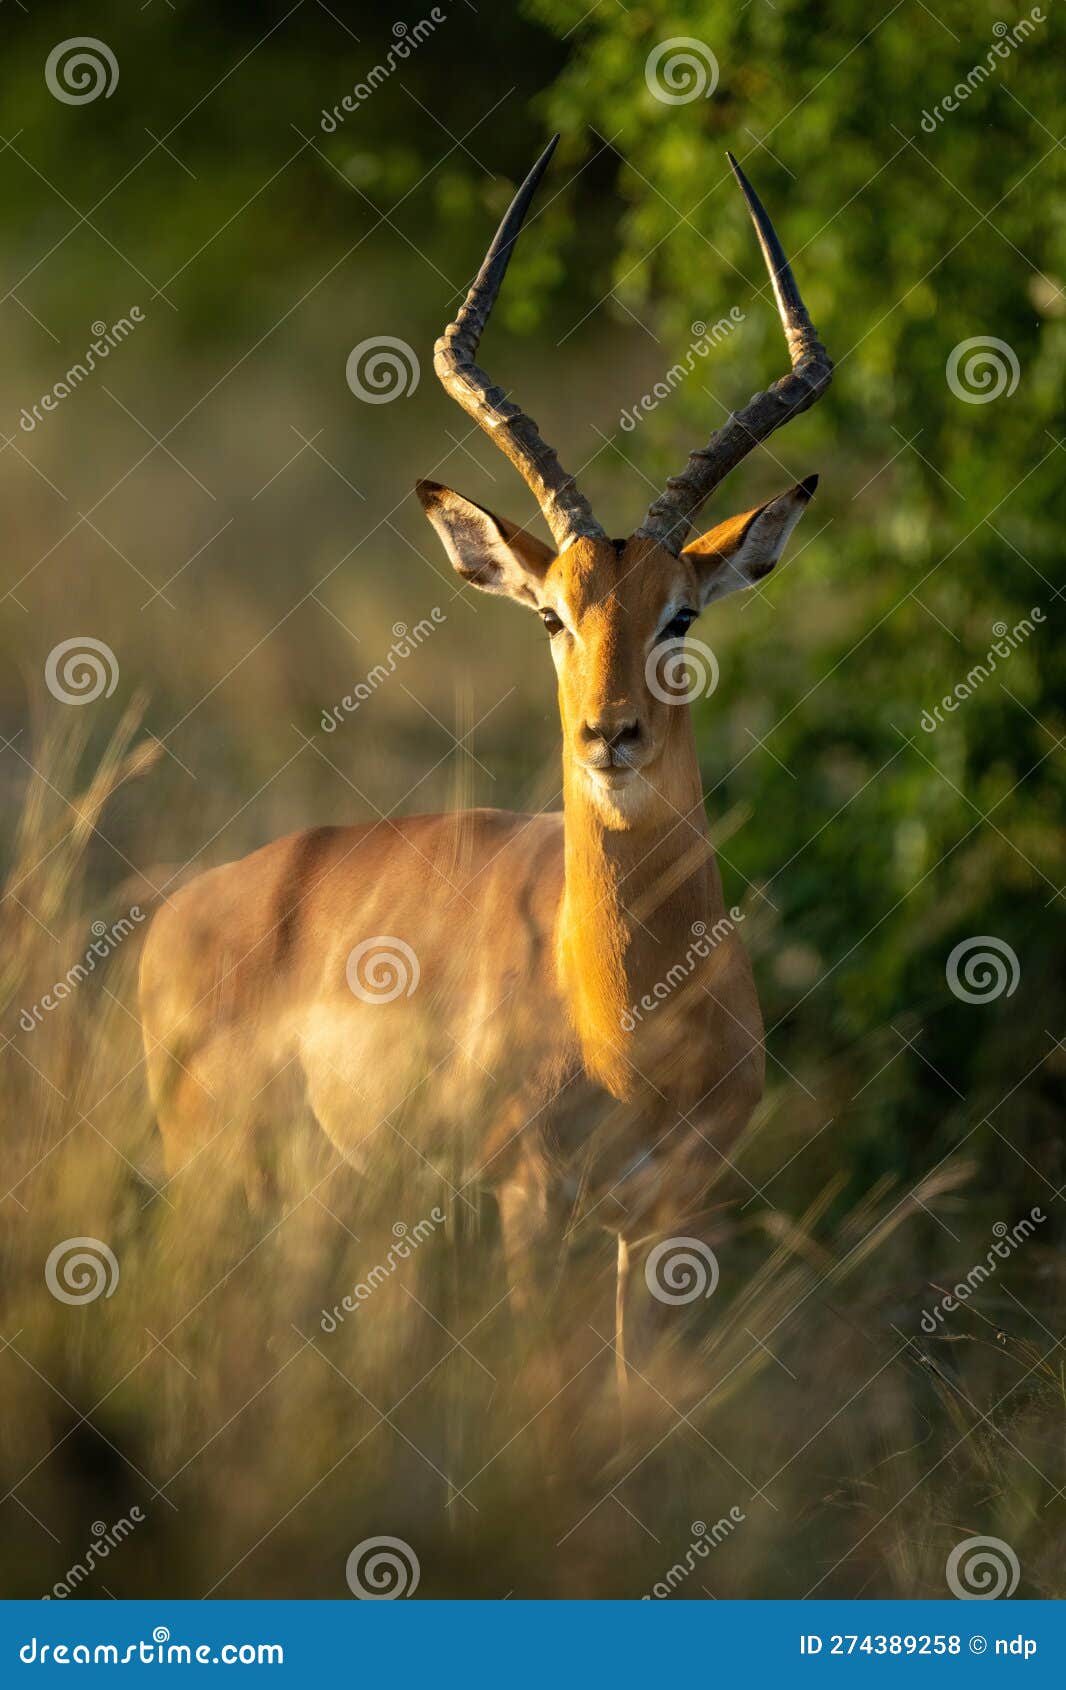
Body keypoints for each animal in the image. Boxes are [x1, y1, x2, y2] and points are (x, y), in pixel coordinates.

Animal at [139, 137, 831, 1408]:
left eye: (682, 613)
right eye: (552, 614)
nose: (608, 736)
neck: (626, 1020)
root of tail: (182, 911)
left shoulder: (677, 1214)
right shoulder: (531, 1200)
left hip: (328, 1192)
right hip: (218, 1172)